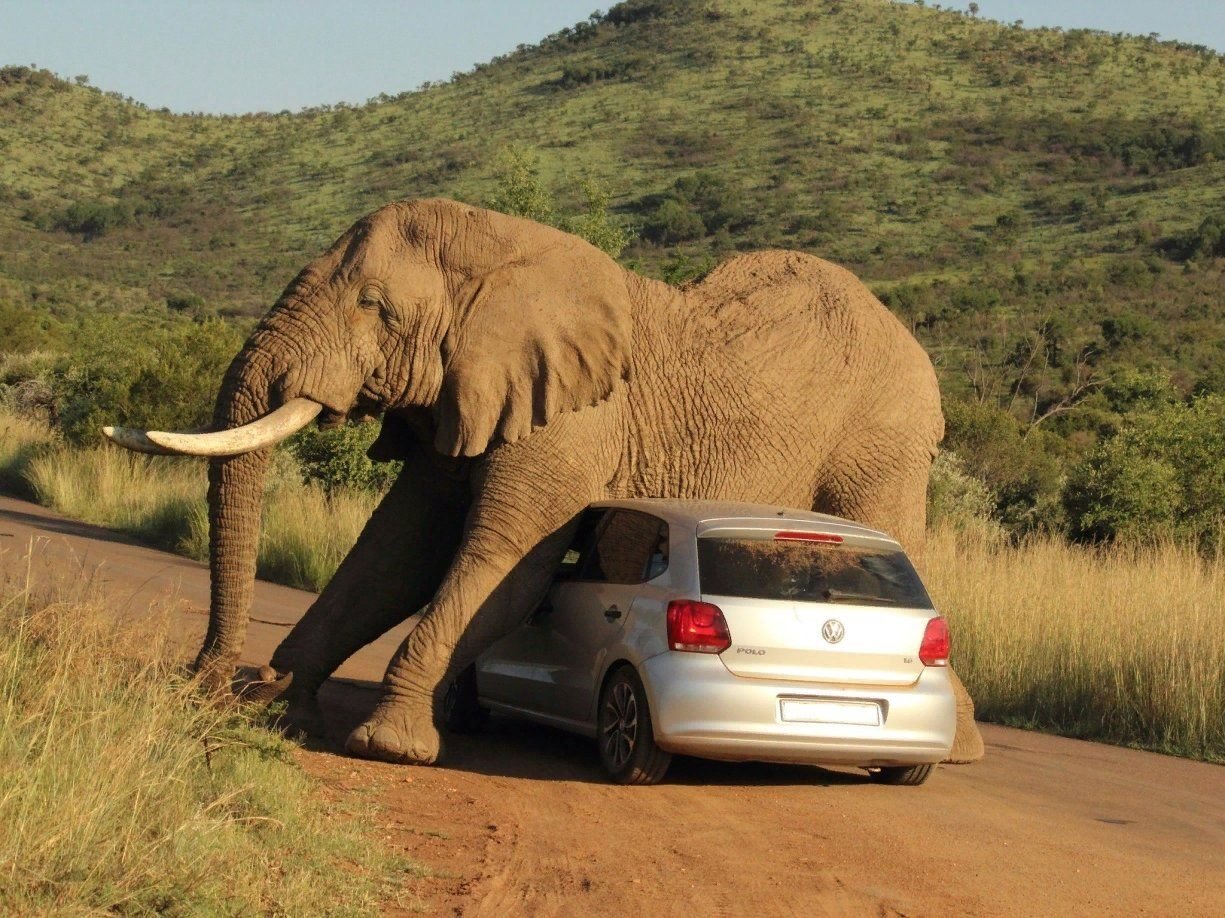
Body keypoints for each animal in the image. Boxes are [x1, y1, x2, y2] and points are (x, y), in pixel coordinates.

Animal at [105, 198, 984, 764]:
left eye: (372, 306)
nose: (206, 682)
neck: (504, 250)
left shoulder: (572, 419)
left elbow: (504, 561)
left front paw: (387, 744)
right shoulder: (464, 394)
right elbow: (395, 555)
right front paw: (284, 706)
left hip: (882, 435)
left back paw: (961, 747)